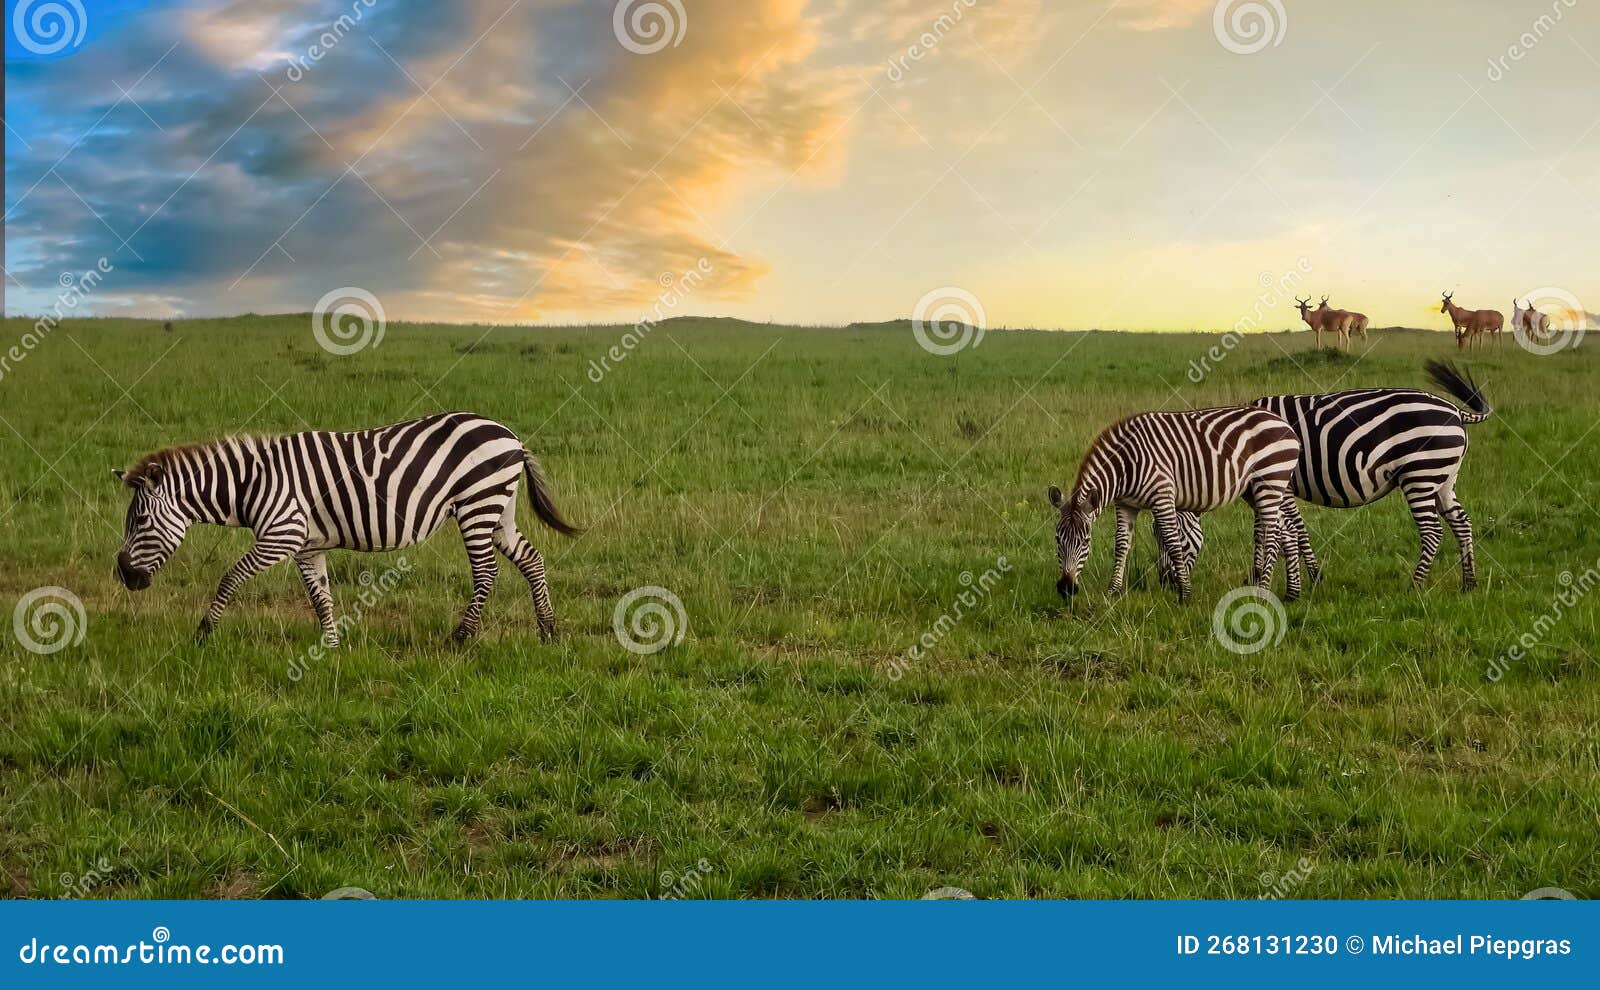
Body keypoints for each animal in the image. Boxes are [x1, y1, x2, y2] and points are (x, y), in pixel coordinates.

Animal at [114, 412, 581, 645]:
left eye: (140, 521)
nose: (123, 575)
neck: (254, 482)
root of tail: (510, 435)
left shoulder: (282, 534)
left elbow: (230, 577)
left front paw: (204, 632)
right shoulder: (306, 544)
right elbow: (320, 596)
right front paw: (332, 646)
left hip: (477, 503)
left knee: (486, 572)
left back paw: (461, 637)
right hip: (499, 508)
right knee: (531, 560)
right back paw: (548, 631)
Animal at [1048, 406, 1302, 602]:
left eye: (1085, 541)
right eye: (1057, 540)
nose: (1066, 589)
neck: (1125, 466)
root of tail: (1283, 423)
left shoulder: (1162, 496)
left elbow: (1173, 542)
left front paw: (1184, 594)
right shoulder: (1126, 505)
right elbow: (1121, 544)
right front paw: (1113, 591)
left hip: (1271, 480)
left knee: (1272, 534)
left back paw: (1263, 592)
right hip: (1255, 490)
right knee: (1286, 530)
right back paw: (1286, 593)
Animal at [1161, 360, 1492, 590]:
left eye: (1168, 537)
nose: (1165, 584)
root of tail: (1455, 410)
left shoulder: (1282, 486)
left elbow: (1293, 530)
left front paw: (1308, 578)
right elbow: (1273, 531)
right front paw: (1273, 576)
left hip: (1421, 474)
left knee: (1433, 532)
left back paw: (1415, 586)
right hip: (1443, 477)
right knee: (1461, 523)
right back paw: (1469, 583)